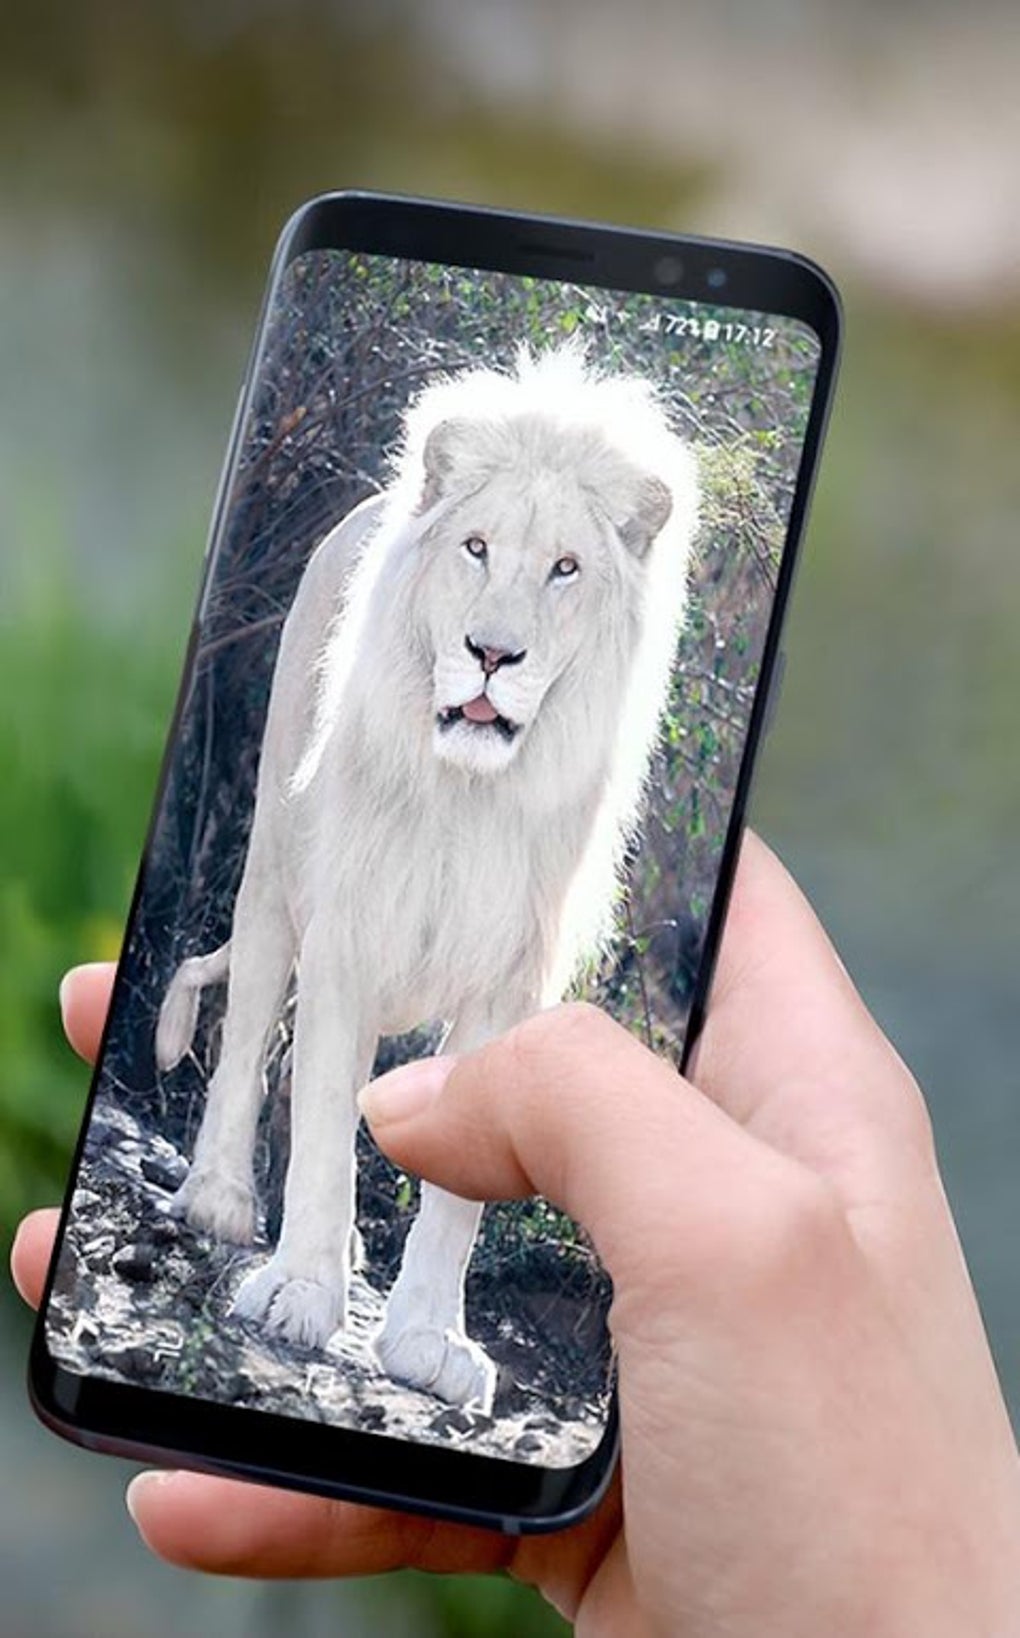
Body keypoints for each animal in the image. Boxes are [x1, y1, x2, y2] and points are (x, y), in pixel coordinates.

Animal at [155, 347, 699, 1412]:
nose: (494, 653)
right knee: (249, 1044)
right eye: (478, 549)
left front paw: (425, 1340)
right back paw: (225, 1202)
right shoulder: (350, 935)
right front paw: (300, 1292)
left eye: (566, 568)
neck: (471, 797)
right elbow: (326, 1130)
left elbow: (456, 1187)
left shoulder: (508, 985)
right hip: (273, 870)